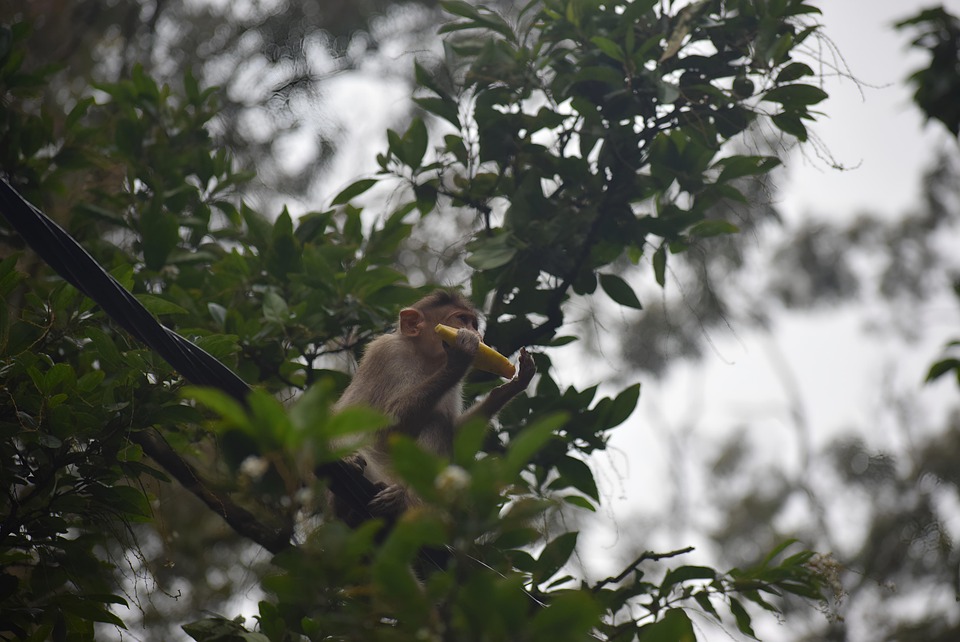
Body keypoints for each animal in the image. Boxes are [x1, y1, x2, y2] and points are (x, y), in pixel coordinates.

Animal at [332, 289, 536, 526]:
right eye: (461, 319)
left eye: (474, 323)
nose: (478, 335)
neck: (424, 357)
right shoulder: (387, 354)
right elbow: (387, 428)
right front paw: (461, 356)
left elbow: (457, 434)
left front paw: (509, 388)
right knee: (434, 421)